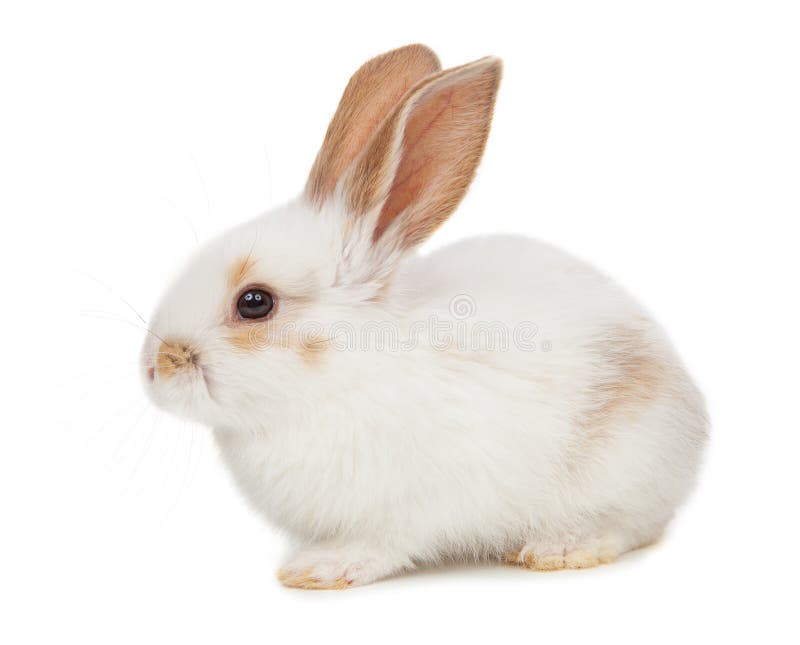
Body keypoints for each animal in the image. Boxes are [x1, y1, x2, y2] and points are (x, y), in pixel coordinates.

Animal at [142, 44, 708, 589]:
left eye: (255, 302)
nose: (154, 368)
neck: (344, 374)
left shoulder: (412, 506)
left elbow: (384, 544)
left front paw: (321, 569)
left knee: (630, 526)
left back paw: (560, 549)